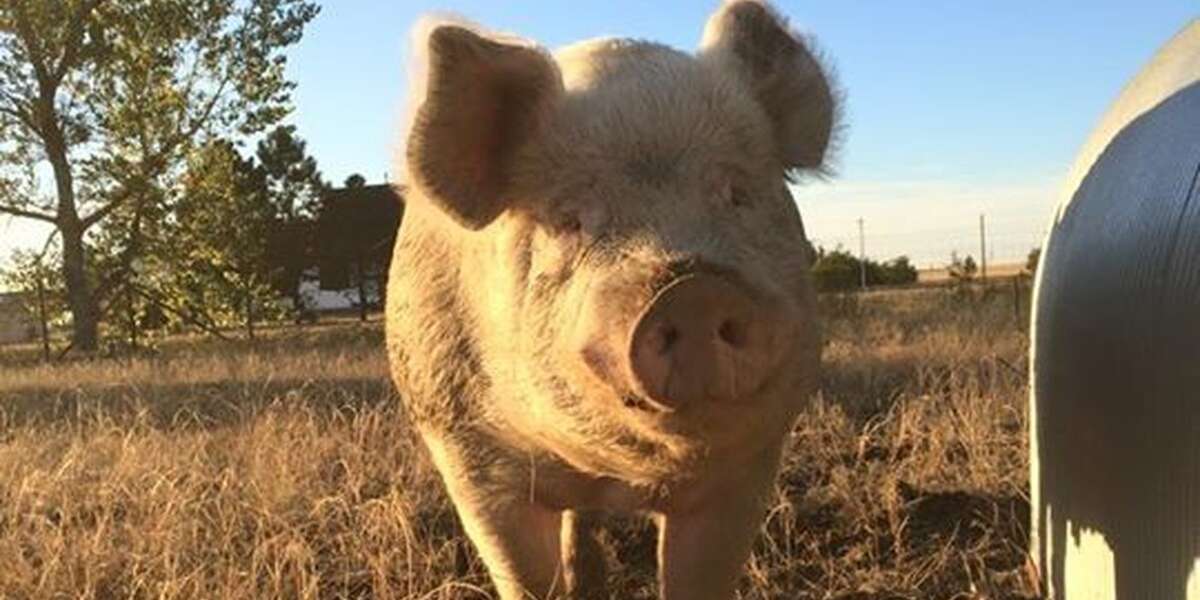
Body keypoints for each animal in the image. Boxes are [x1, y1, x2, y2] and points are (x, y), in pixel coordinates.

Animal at [386, 1, 837, 598]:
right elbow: (524, 576)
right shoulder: (467, 454)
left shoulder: (748, 469)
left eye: (737, 194)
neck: (617, 473)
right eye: (568, 219)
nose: (693, 290)